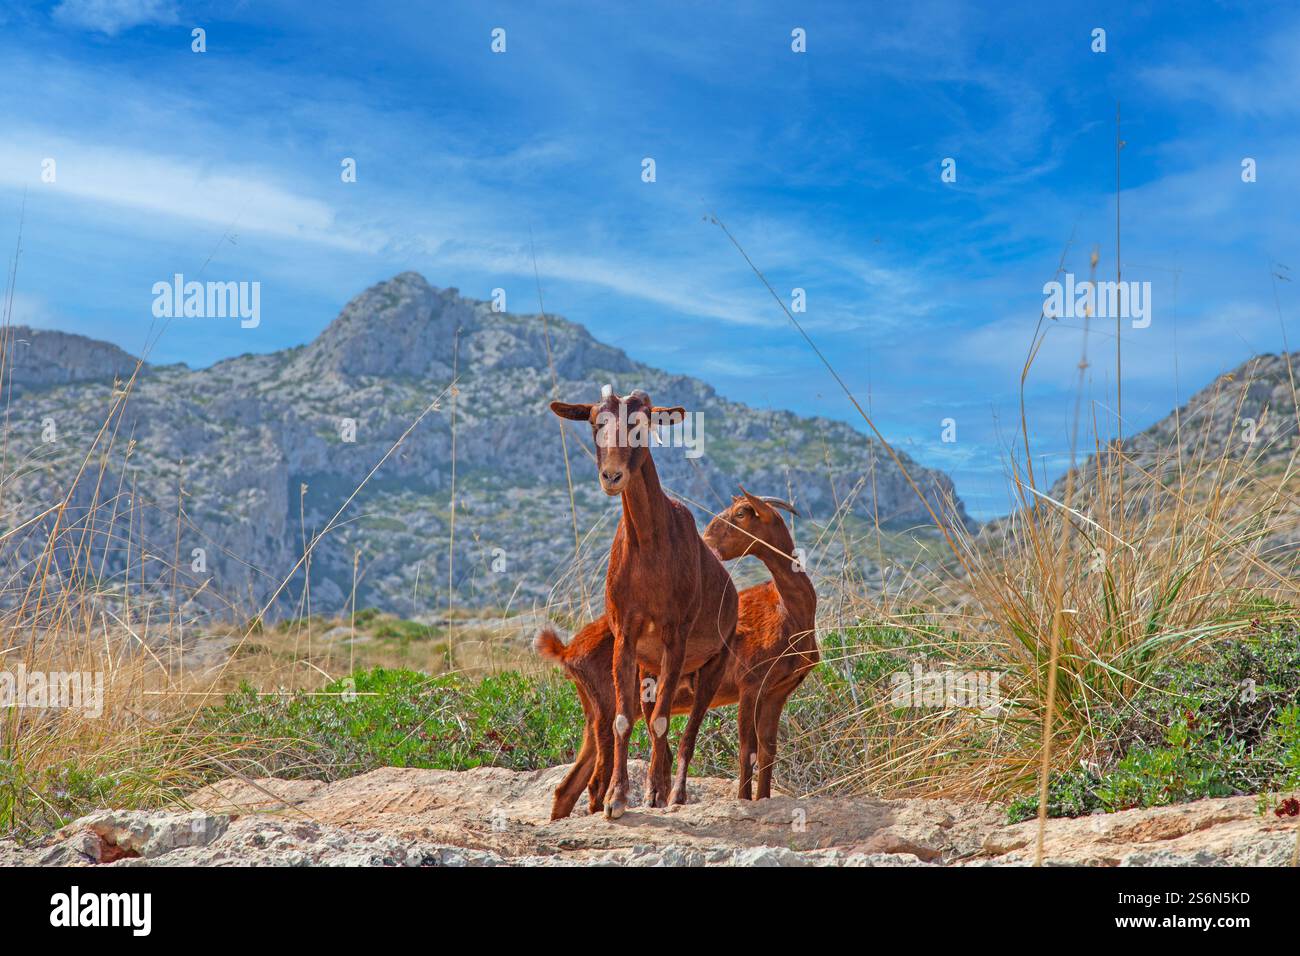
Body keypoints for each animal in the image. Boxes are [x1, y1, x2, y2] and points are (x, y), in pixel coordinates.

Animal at [537, 487, 817, 818]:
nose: (708, 545)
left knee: (567, 787)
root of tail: (568, 651)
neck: (789, 612)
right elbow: (747, 748)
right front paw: (744, 800)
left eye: (740, 514)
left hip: (594, 715)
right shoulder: (750, 684)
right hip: (607, 708)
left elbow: (767, 748)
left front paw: (762, 799)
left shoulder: (778, 690)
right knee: (596, 782)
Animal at [549, 388, 737, 818]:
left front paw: (653, 793)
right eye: (594, 421)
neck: (651, 547)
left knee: (689, 728)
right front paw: (617, 798)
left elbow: (665, 722)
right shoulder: (626, 635)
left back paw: (674, 792)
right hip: (648, 670)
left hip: (713, 664)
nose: (612, 476)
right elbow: (624, 719)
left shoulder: (676, 636)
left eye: (640, 422)